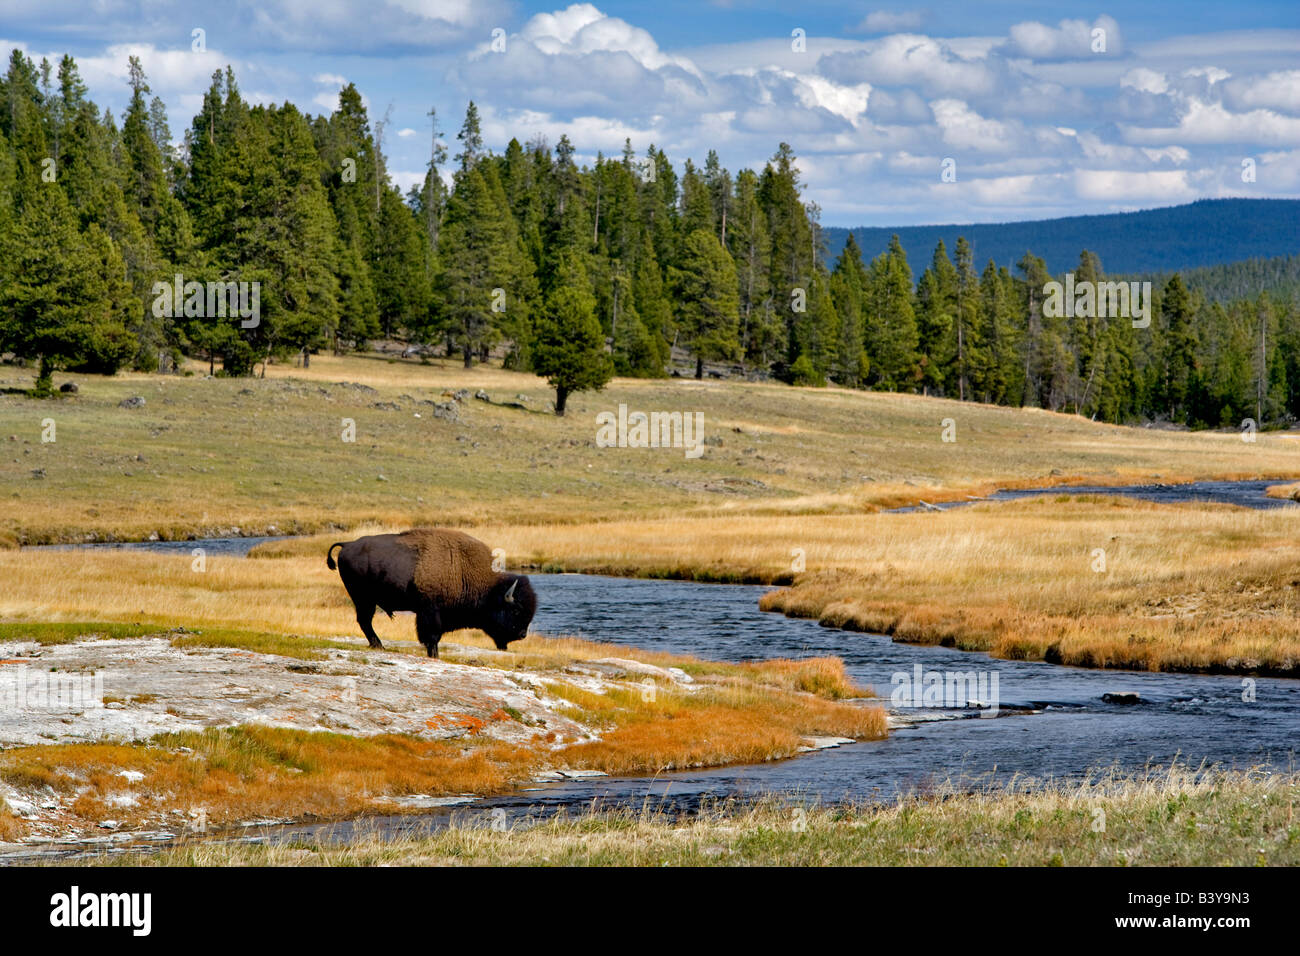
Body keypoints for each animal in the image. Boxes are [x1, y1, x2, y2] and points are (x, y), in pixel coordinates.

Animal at [326, 529, 537, 658]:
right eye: (516, 610)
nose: (522, 634)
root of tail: (347, 544)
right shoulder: (430, 612)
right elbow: (432, 637)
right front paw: (434, 655)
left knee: (364, 621)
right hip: (363, 599)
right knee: (365, 621)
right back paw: (379, 645)